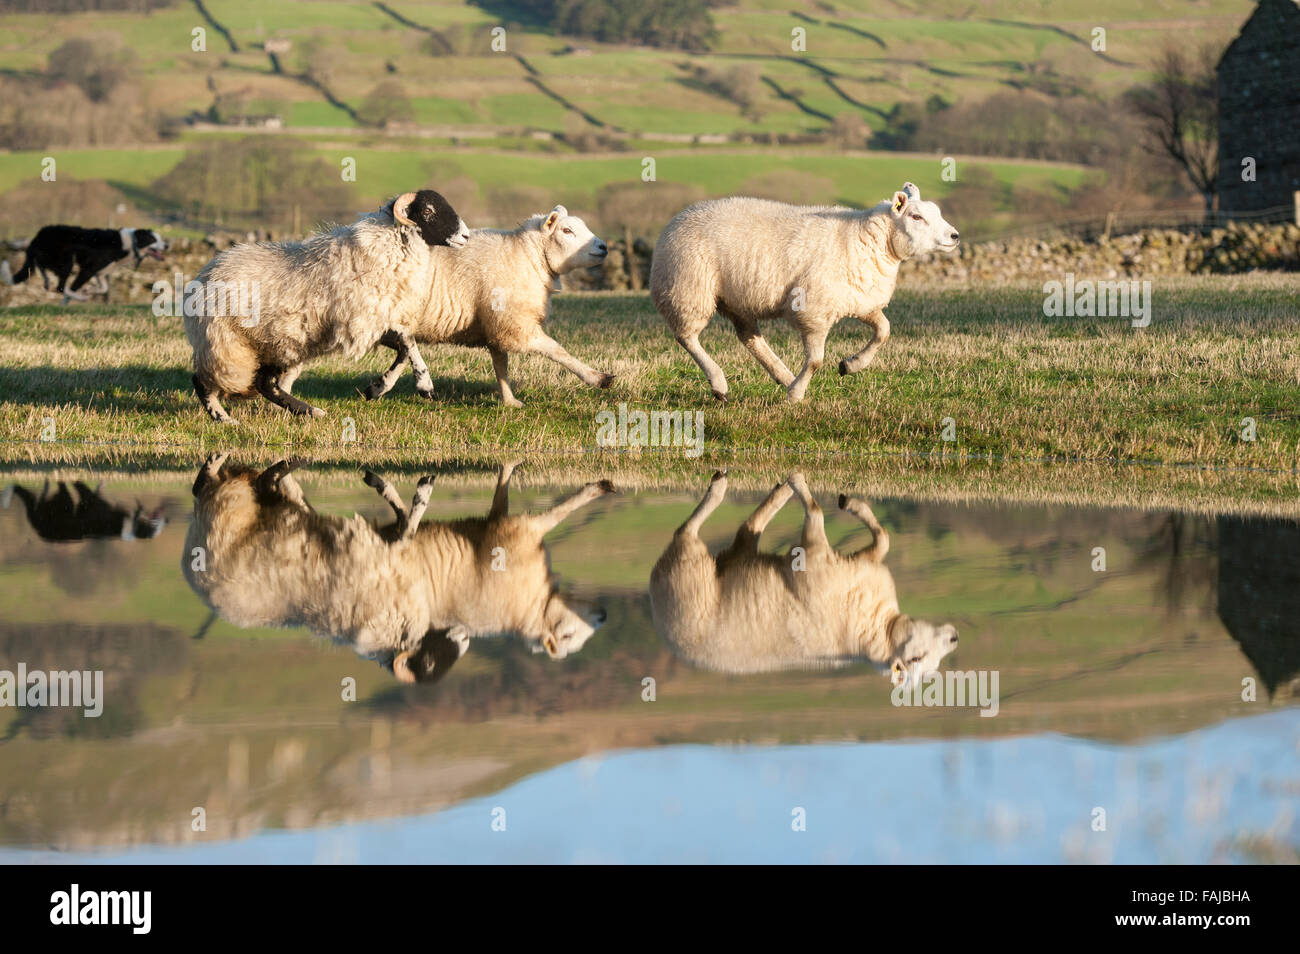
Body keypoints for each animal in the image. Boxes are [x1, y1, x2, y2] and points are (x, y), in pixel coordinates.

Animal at [183, 455, 612, 683]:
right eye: (569, 635)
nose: (604, 616)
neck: (534, 608)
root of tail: (194, 567)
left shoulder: (495, 526)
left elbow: (501, 493)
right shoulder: (515, 535)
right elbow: (558, 512)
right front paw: (596, 488)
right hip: (232, 508)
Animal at [184, 189, 470, 423]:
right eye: (427, 210)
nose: (465, 236)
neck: (389, 247)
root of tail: (203, 275)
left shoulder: (374, 323)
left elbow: (403, 349)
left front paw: (378, 388)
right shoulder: (359, 320)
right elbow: (409, 342)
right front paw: (425, 384)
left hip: (278, 344)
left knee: (266, 384)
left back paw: (307, 411)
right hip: (229, 344)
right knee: (205, 380)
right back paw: (224, 418)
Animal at [361, 205, 616, 407]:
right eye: (567, 231)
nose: (604, 247)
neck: (526, 257)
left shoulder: (496, 325)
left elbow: (500, 364)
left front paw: (510, 401)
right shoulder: (514, 325)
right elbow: (557, 350)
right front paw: (598, 377)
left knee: (403, 348)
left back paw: (379, 386)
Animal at [649, 182, 959, 402]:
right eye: (916, 216)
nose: (955, 236)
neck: (864, 239)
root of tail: (676, 219)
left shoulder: (861, 302)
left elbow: (884, 331)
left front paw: (850, 365)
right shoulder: (814, 311)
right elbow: (816, 361)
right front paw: (796, 396)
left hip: (736, 301)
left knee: (749, 337)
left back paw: (783, 375)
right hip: (689, 290)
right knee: (687, 337)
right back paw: (720, 384)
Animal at [649, 470, 959, 687]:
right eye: (917, 658)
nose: (955, 637)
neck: (878, 627)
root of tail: (658, 618)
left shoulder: (848, 561)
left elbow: (881, 537)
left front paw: (845, 501)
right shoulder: (816, 556)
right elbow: (827, 515)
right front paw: (834, 497)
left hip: (724, 563)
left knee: (744, 531)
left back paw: (776, 492)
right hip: (690, 570)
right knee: (687, 531)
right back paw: (726, 488)